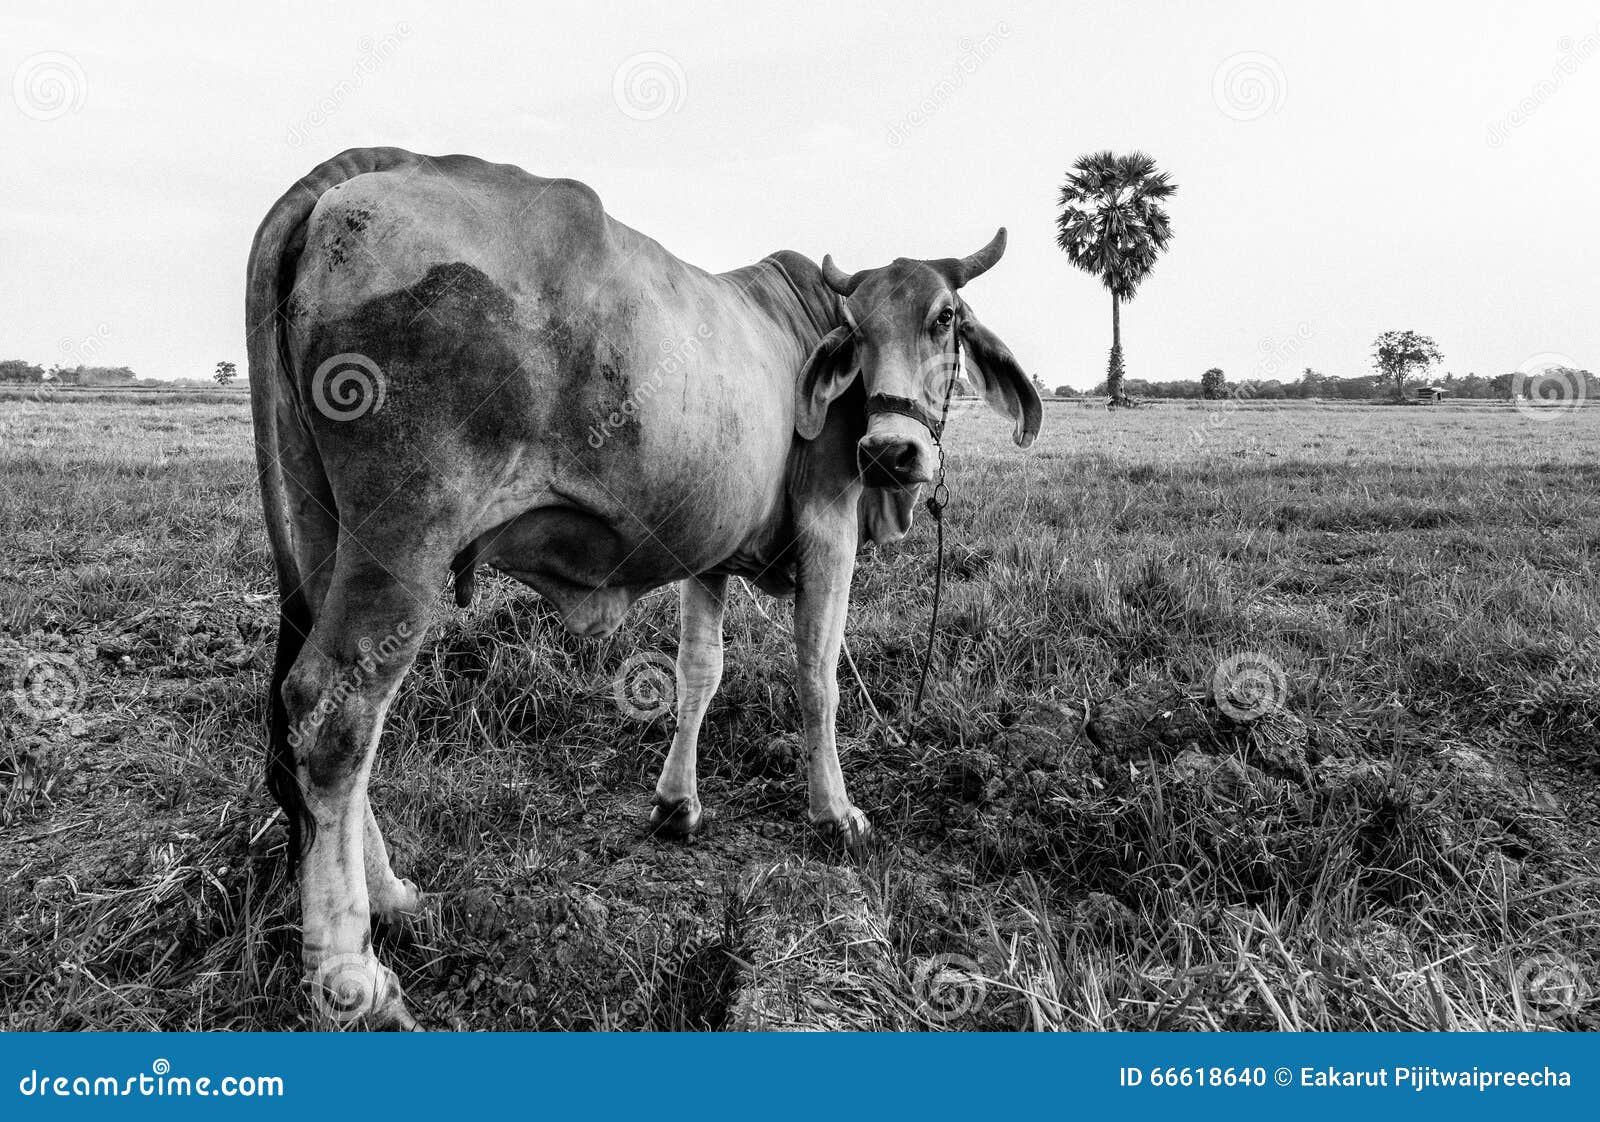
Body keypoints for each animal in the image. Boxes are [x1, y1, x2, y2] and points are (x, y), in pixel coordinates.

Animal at [247, 147, 1041, 1028]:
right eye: (859, 331)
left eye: (945, 319)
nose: (891, 453)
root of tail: (354, 175)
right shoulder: (830, 527)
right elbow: (818, 676)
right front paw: (835, 812)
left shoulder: (710, 555)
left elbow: (699, 674)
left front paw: (677, 803)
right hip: (404, 541)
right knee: (334, 717)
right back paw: (355, 978)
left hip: (322, 533)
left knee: (326, 724)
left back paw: (390, 897)